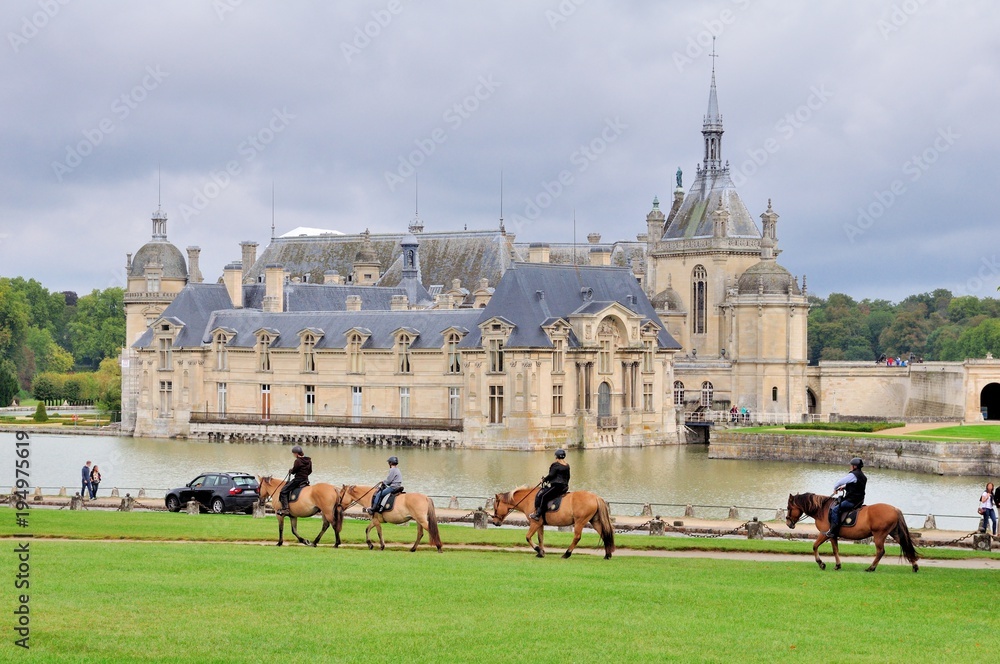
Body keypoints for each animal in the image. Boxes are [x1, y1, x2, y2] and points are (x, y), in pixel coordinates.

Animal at [786, 492, 919, 572]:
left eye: (788, 508)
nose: (788, 523)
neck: (822, 509)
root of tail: (895, 509)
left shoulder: (825, 534)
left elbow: (815, 546)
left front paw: (821, 563)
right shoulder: (833, 535)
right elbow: (835, 550)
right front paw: (837, 565)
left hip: (879, 535)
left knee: (880, 551)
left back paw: (871, 568)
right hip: (894, 533)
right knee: (906, 546)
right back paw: (914, 566)